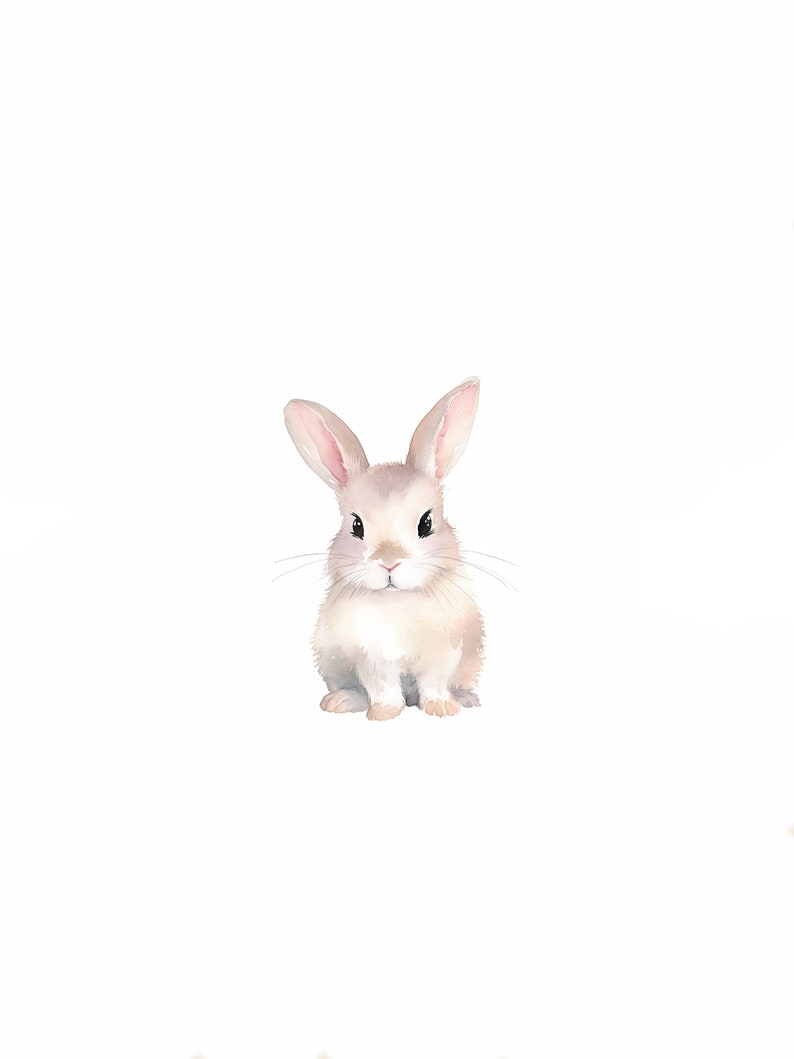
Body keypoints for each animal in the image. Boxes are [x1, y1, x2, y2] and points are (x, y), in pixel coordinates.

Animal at [283, 377, 484, 721]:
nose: (389, 563)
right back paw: (339, 702)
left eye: (426, 523)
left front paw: (441, 709)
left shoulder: (444, 651)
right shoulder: (371, 659)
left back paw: (467, 699)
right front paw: (385, 713)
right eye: (356, 525)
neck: (397, 601)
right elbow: (382, 686)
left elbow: (434, 681)